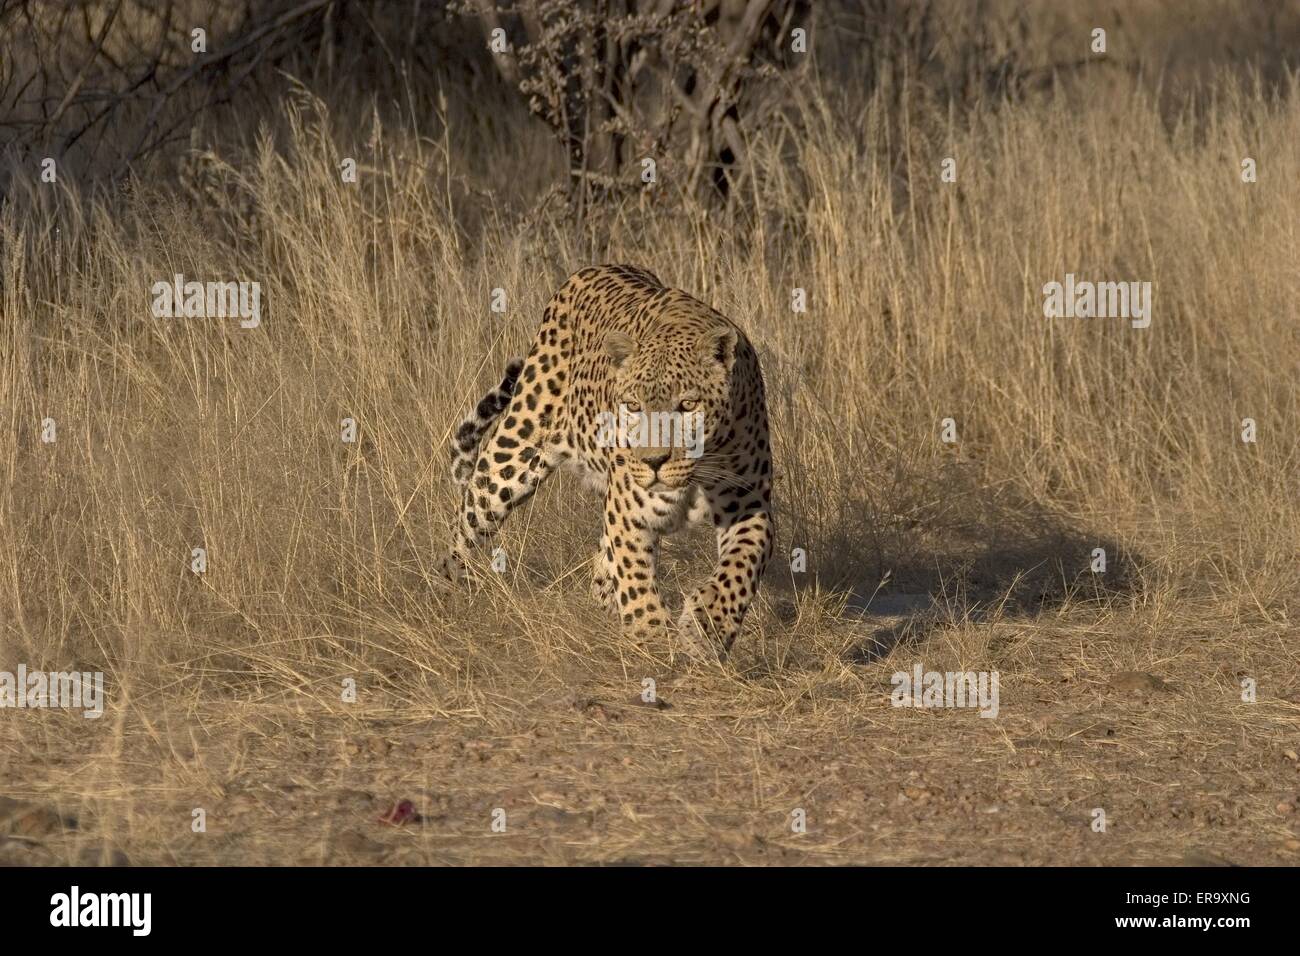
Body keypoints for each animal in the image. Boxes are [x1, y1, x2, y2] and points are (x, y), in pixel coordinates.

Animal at [442, 264, 775, 660]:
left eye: (688, 405)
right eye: (632, 405)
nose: (654, 461)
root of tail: (590, 270)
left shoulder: (749, 503)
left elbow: (739, 569)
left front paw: (707, 627)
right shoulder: (630, 510)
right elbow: (635, 579)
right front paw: (652, 640)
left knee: (601, 569)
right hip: (511, 457)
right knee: (467, 522)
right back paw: (449, 592)